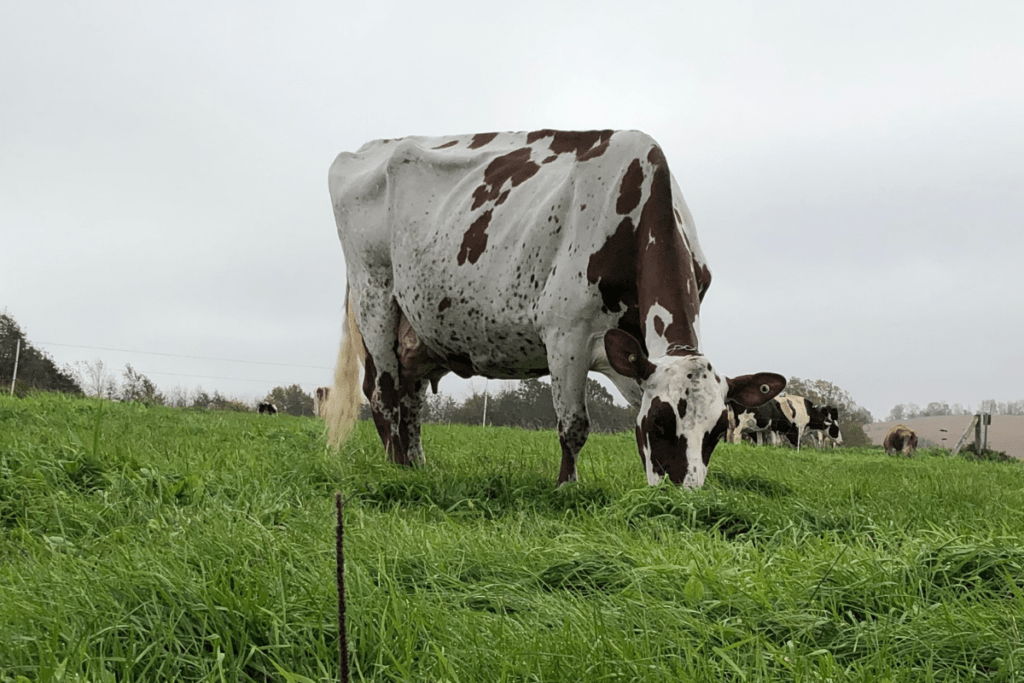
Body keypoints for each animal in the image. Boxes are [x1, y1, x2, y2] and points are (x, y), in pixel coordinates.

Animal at [324, 129, 786, 488]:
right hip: (375, 298)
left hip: (419, 332)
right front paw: (567, 488)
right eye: (659, 422)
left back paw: (417, 466)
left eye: (718, 431)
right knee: (384, 395)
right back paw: (395, 469)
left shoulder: (633, 357)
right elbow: (574, 425)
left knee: (411, 397)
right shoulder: (567, 334)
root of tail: (372, 147)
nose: (682, 495)